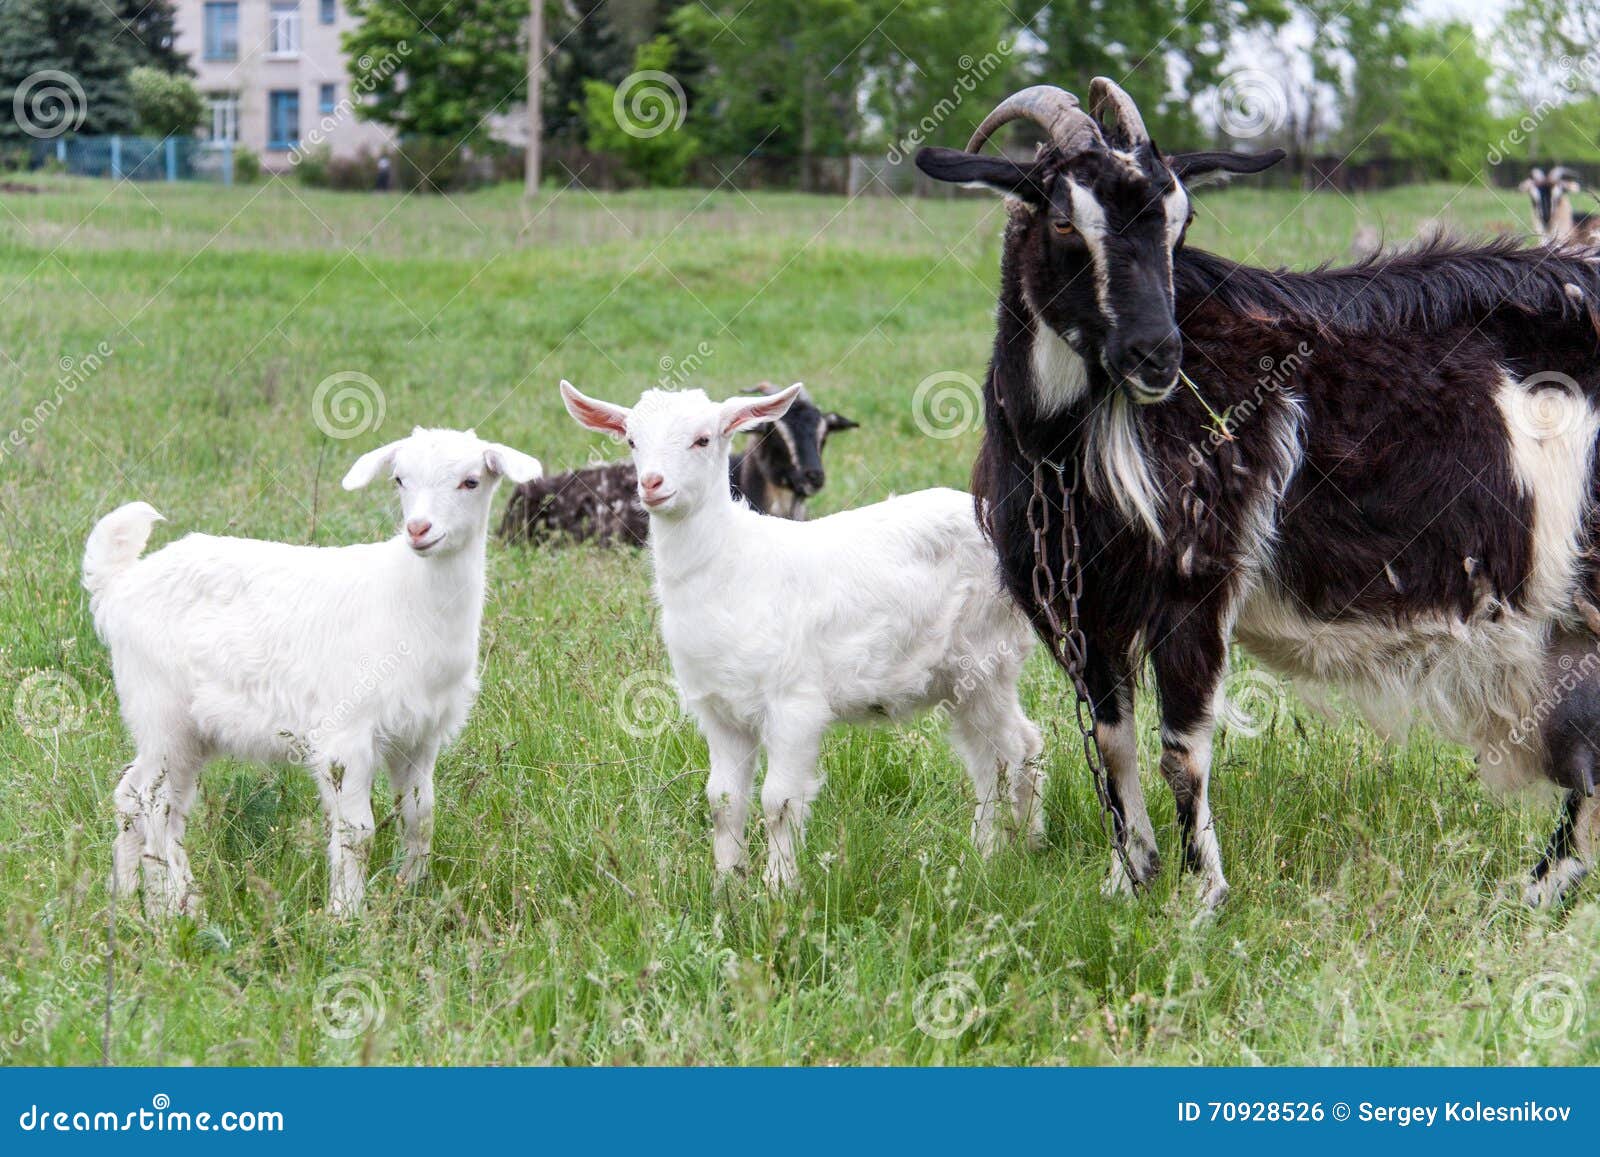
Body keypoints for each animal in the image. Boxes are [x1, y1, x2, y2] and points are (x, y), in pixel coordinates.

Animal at [84, 428, 541, 917]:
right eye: (399, 479)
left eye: (471, 481)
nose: (419, 529)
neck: (408, 595)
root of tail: (118, 586)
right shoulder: (346, 732)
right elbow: (357, 832)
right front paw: (347, 916)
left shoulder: (419, 735)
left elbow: (420, 817)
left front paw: (409, 892)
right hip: (161, 710)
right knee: (155, 805)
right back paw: (175, 907)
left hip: (186, 729)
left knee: (134, 794)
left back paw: (131, 901)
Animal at [559, 380, 1043, 888]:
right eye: (632, 441)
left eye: (703, 439)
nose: (651, 484)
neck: (728, 563)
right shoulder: (719, 710)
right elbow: (723, 801)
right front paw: (726, 887)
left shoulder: (795, 705)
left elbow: (779, 803)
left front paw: (779, 889)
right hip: (963, 675)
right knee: (1012, 746)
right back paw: (1019, 844)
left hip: (984, 657)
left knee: (1002, 754)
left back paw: (994, 853)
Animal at [917, 79, 1600, 912]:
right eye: (1063, 218)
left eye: (1180, 223)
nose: (1158, 355)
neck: (1064, 443)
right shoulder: (1082, 604)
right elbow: (1112, 744)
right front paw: (1130, 877)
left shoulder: (1197, 579)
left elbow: (1181, 750)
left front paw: (1201, 897)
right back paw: (1541, 884)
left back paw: (1541, 882)